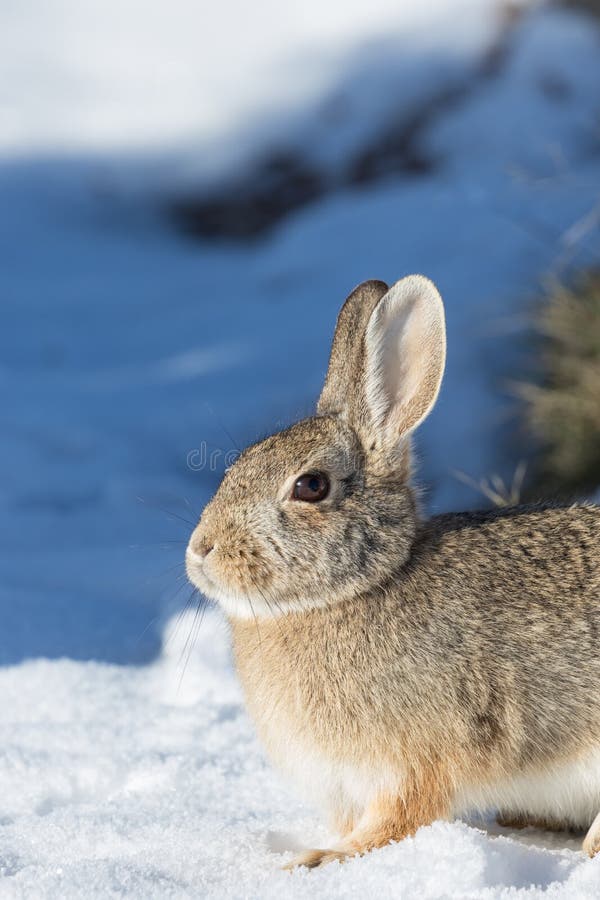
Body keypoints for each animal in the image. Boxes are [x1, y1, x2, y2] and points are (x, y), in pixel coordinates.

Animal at [185, 275, 600, 869]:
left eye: (310, 486)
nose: (202, 549)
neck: (358, 588)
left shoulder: (417, 761)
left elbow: (396, 820)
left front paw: (319, 858)